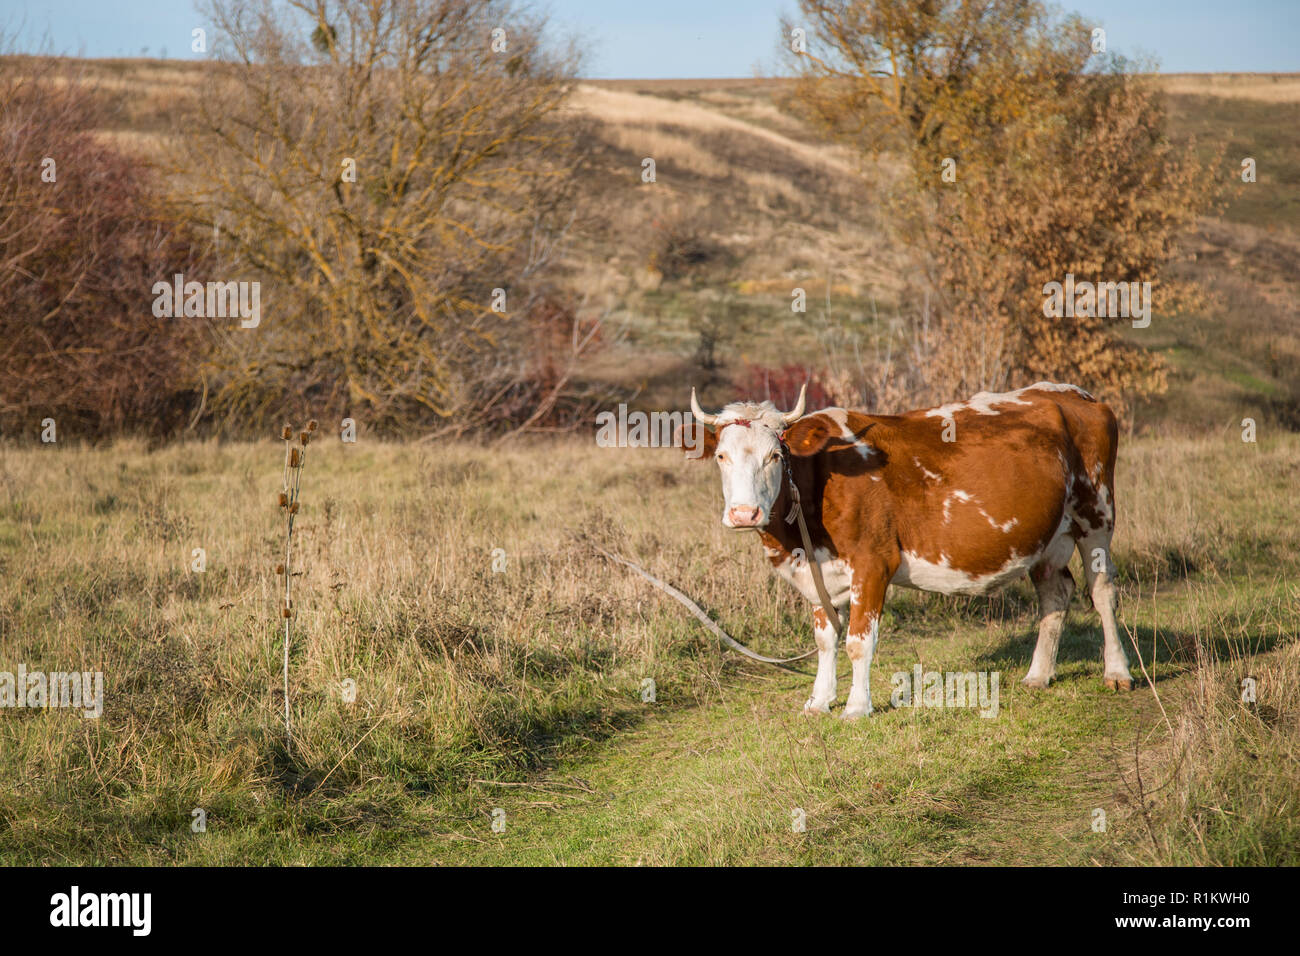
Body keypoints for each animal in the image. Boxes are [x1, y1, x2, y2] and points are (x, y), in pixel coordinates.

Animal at [685, 382, 1133, 719]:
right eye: (722, 456)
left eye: (774, 455)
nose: (744, 513)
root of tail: (1073, 394)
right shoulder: (817, 570)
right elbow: (826, 639)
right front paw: (819, 701)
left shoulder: (872, 563)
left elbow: (858, 640)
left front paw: (856, 708)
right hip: (1045, 535)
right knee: (1055, 594)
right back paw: (1038, 675)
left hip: (1096, 513)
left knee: (1102, 592)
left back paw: (1117, 672)